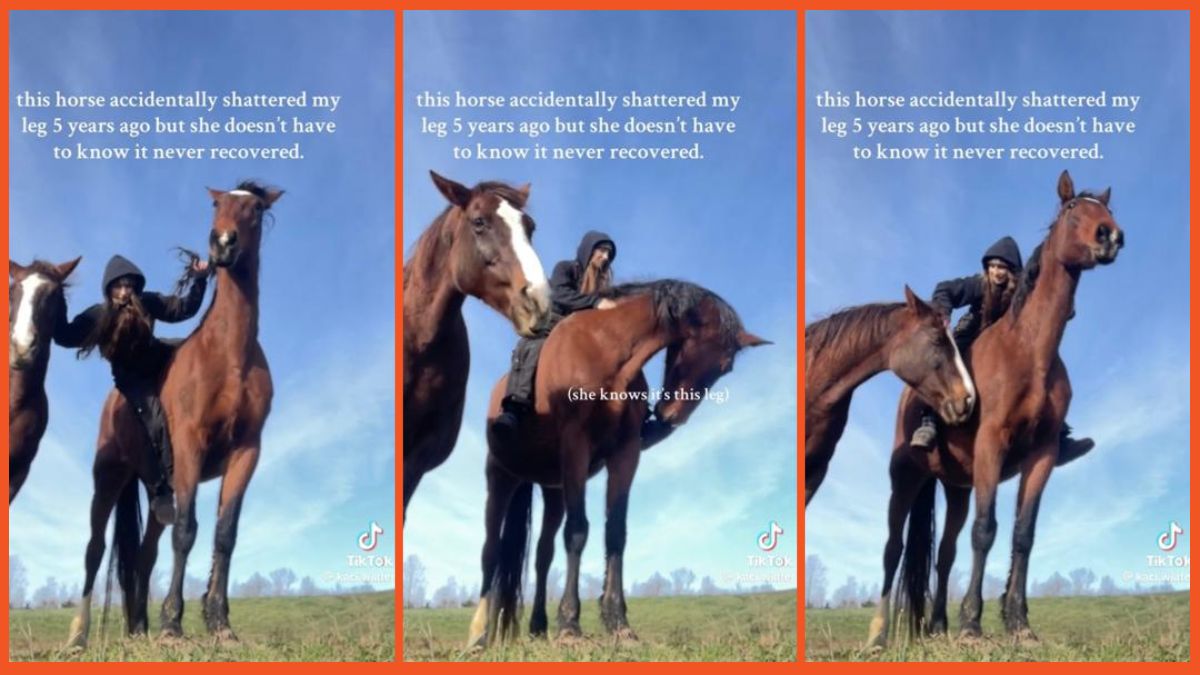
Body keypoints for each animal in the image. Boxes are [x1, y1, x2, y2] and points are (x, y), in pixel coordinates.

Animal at [67, 182, 281, 648]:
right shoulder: (189, 448)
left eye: (256, 208)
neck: (228, 356)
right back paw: (78, 635)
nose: (221, 243)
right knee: (94, 549)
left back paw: (137, 629)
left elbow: (224, 534)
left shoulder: (246, 452)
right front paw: (173, 624)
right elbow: (187, 532)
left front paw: (219, 622)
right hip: (108, 479)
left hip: (154, 488)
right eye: (217, 203)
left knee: (144, 555)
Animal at [466, 279, 769, 646]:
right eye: (708, 356)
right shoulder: (576, 446)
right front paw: (570, 623)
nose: (670, 419)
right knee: (490, 552)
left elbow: (616, 534)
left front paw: (618, 622)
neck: (606, 351)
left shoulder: (625, 455)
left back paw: (536, 627)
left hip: (553, 490)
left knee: (541, 555)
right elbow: (578, 531)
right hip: (500, 477)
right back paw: (479, 636)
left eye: (726, 367)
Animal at [866, 170, 1124, 647]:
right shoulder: (991, 444)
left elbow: (1023, 534)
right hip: (905, 478)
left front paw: (1018, 621)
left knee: (944, 554)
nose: (1111, 236)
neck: (1029, 351)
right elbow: (986, 531)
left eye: (1109, 210)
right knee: (894, 550)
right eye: (1072, 209)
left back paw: (937, 626)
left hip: (955, 488)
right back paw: (881, 637)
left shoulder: (1041, 455)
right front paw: (972, 623)